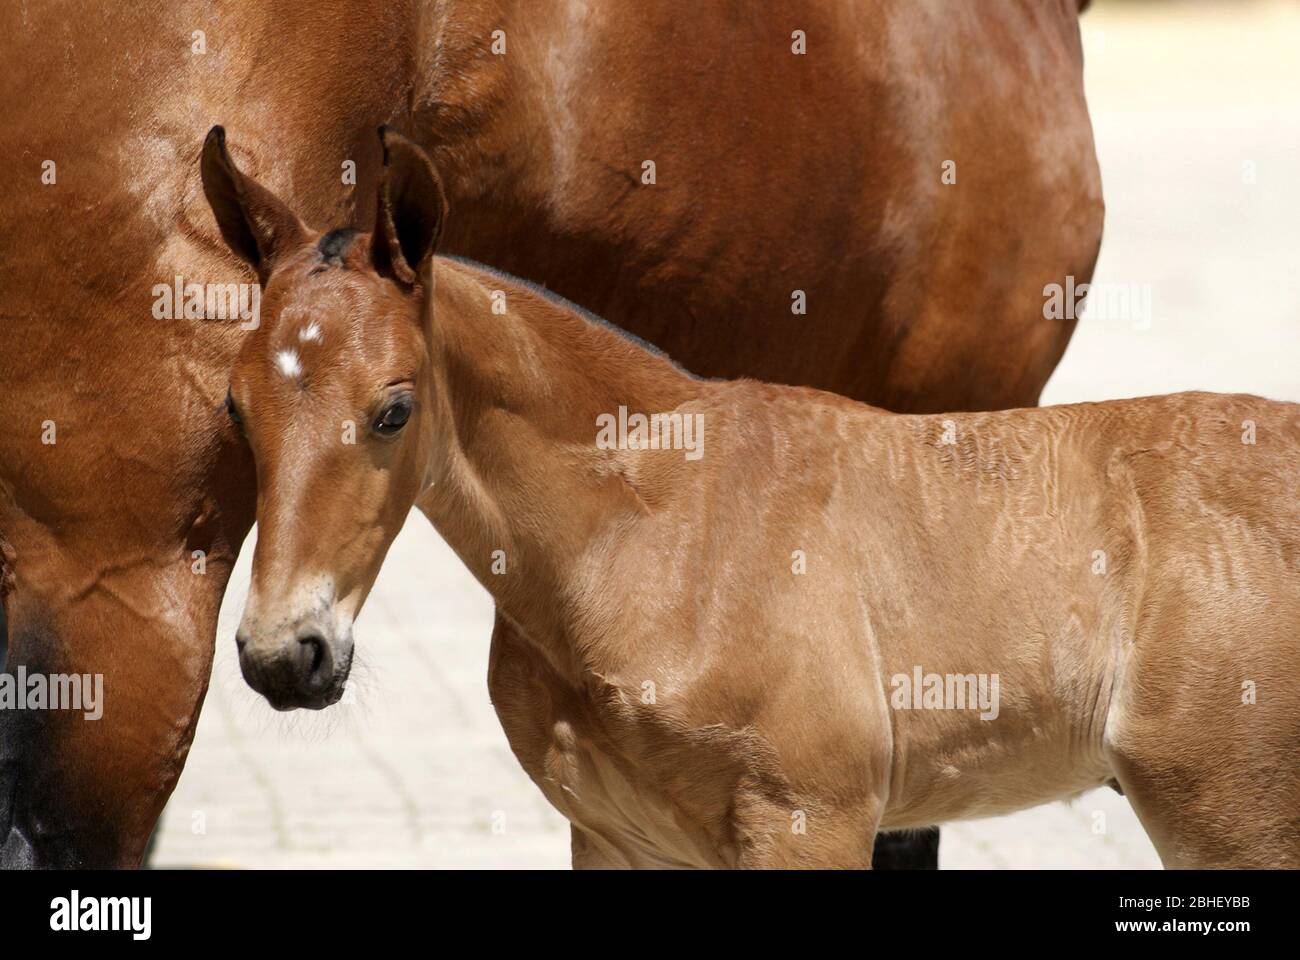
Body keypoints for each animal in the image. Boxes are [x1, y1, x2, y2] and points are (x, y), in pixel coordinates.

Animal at [209, 127, 1298, 868]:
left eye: (393, 409)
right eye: (234, 406)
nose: (284, 656)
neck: (655, 532)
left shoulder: (809, 819)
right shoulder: (615, 836)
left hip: (1226, 813)